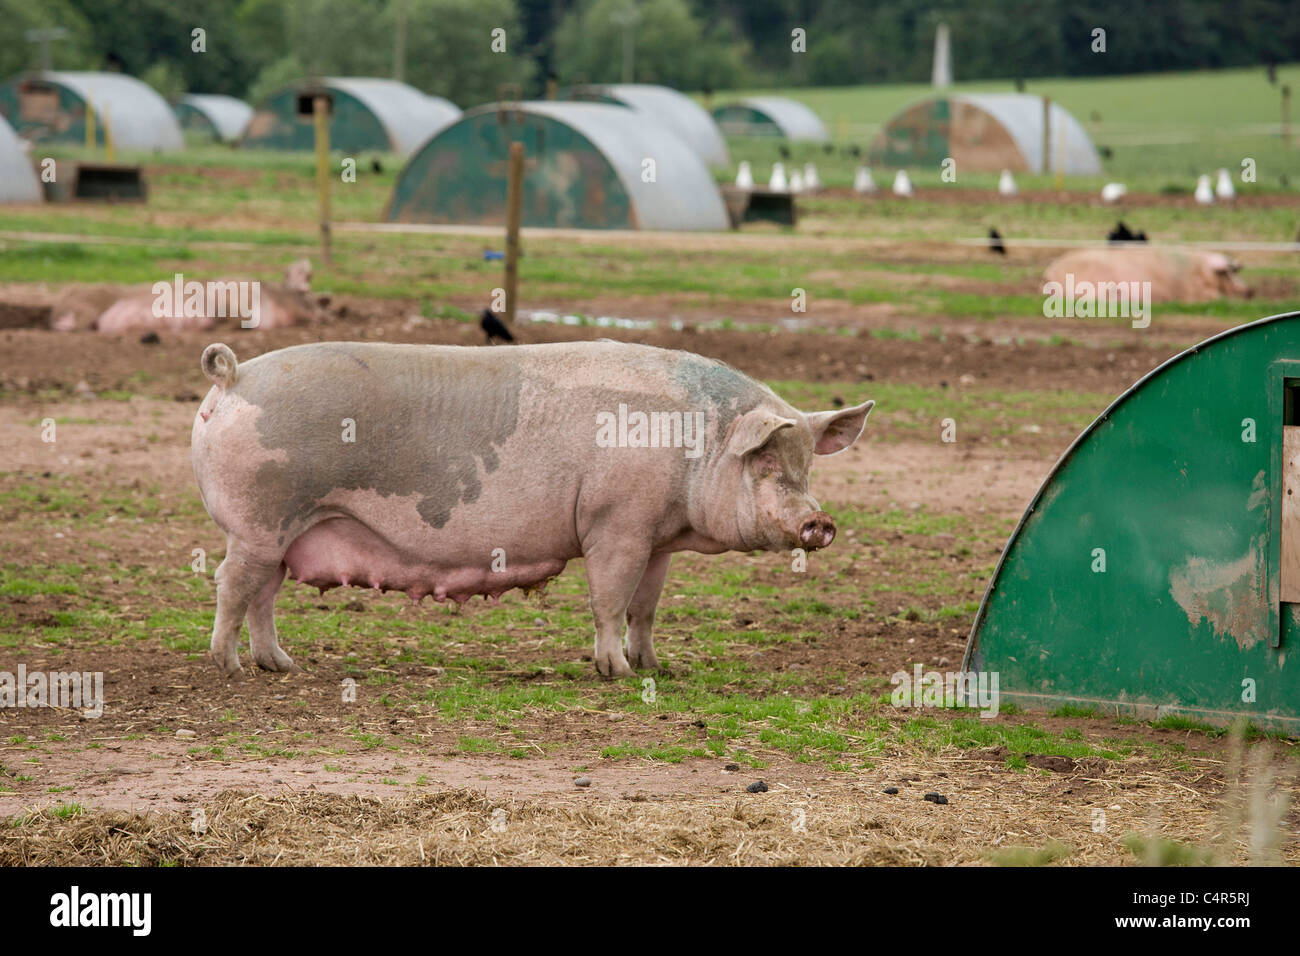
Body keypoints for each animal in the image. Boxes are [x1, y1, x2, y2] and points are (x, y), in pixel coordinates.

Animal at [191, 340, 872, 678]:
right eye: (764, 463)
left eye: (806, 466)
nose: (820, 521)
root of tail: (233, 378)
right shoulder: (615, 525)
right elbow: (610, 600)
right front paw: (615, 672)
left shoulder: (656, 540)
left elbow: (646, 608)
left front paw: (660, 667)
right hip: (260, 521)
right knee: (231, 583)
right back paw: (229, 667)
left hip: (283, 533)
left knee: (263, 594)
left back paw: (281, 664)